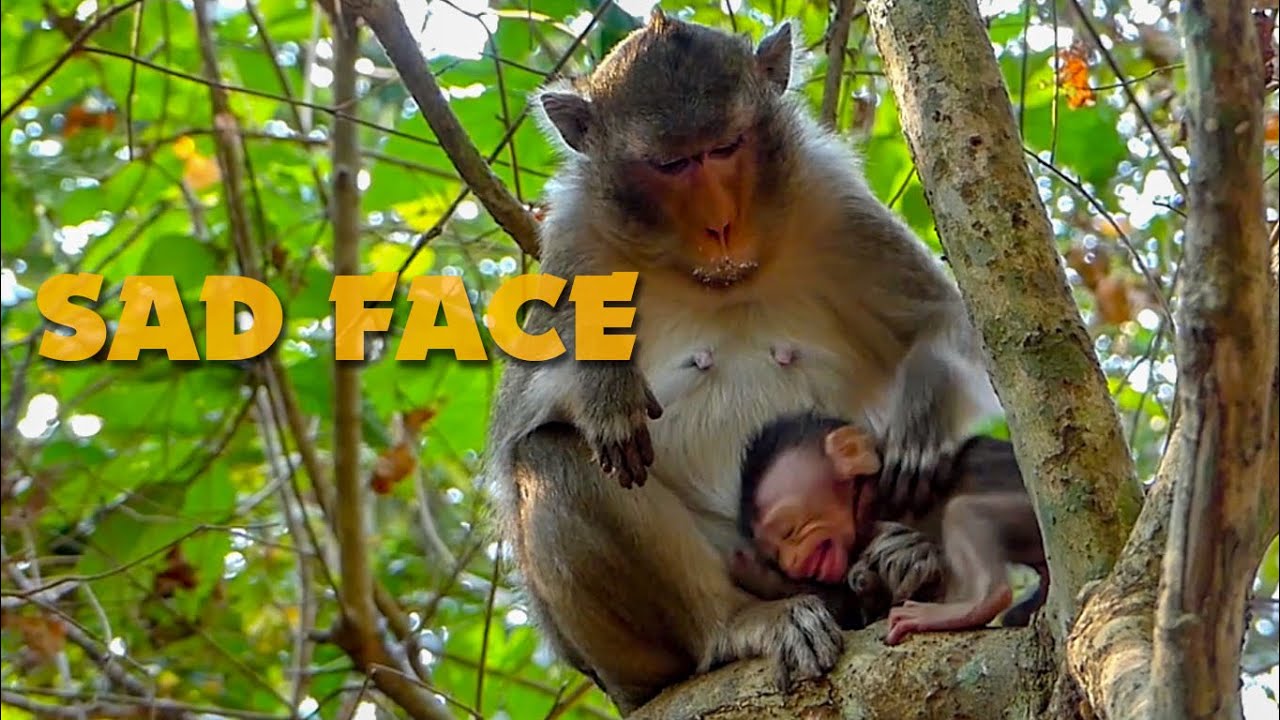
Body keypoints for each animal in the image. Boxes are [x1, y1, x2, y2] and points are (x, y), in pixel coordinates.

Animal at [483, 9, 1002, 713]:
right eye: (673, 165)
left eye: (725, 148)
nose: (720, 225)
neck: (718, 276)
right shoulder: (578, 246)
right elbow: (520, 422)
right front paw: (602, 389)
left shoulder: (832, 199)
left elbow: (944, 321)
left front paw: (919, 428)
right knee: (550, 455)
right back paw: (739, 625)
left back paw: (900, 566)